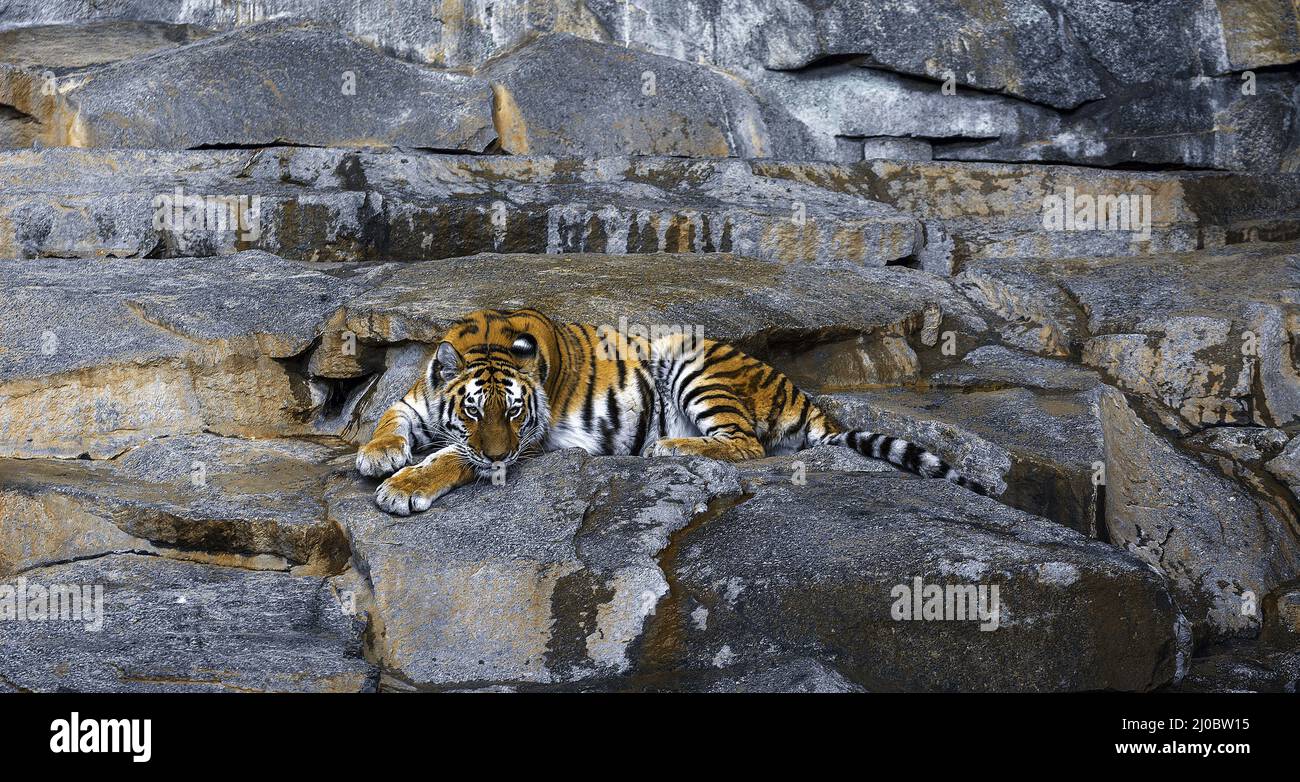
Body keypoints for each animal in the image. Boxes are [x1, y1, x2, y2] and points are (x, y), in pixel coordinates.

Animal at [356, 308, 987, 515]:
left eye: (514, 414)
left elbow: (452, 459)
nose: (498, 453)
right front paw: (378, 454)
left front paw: (404, 486)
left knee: (746, 443)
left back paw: (668, 446)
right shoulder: (414, 399)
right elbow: (389, 419)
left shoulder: (526, 443)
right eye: (473, 411)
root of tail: (798, 391)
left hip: (693, 361)